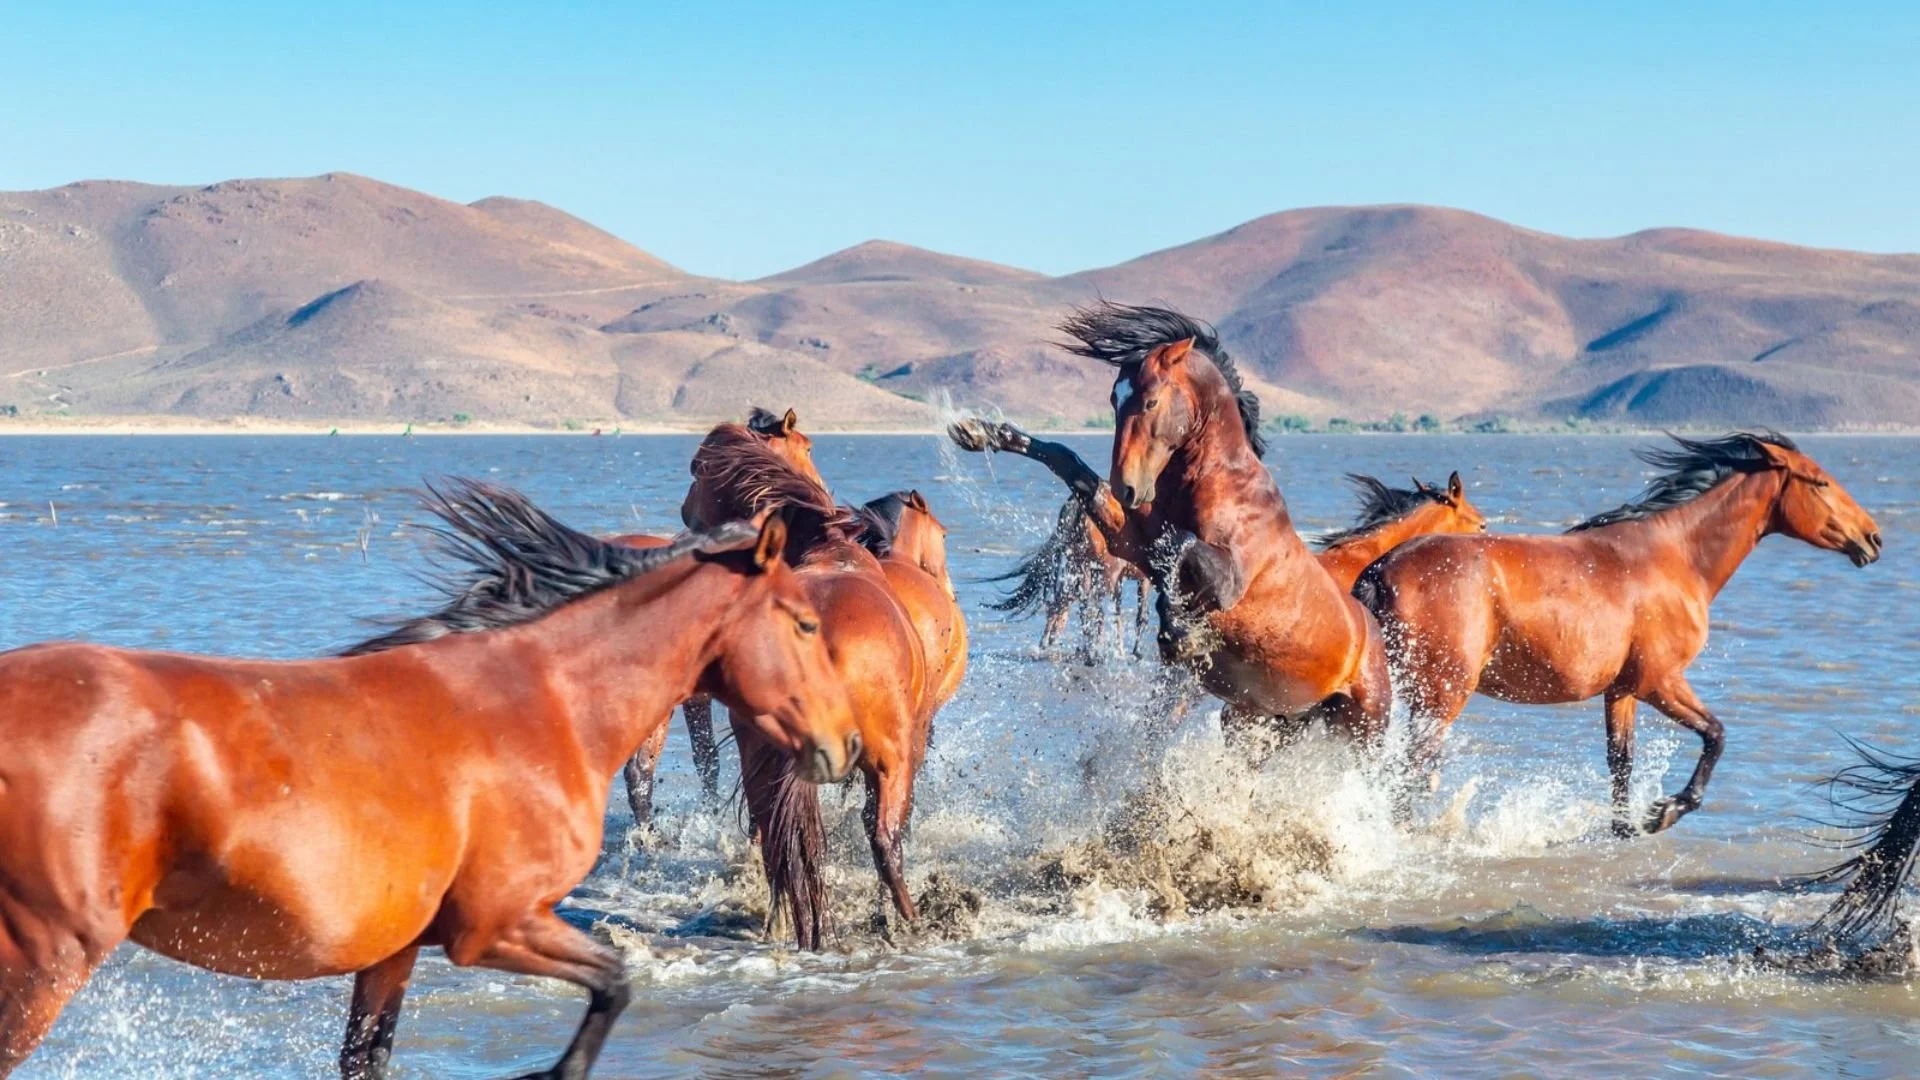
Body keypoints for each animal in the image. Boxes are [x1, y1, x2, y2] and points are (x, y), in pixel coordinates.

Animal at [0, 480, 858, 1080]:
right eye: (805, 623)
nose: (844, 745)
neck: (547, 701)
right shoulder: (497, 926)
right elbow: (616, 982)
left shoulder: (398, 951)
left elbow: (367, 1057)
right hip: (47, 958)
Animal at [950, 301, 1393, 750]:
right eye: (1114, 400)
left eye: (1150, 402)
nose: (1128, 488)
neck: (1217, 483)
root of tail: (1374, 636)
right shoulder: (1128, 543)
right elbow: (1069, 463)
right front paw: (982, 432)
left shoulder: (1227, 580)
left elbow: (1179, 544)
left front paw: (1181, 630)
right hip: (1265, 718)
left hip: (1360, 727)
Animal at [1354, 432, 1882, 836]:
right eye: (1820, 482)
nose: (1873, 539)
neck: (1673, 556)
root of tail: (1382, 569)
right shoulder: (1660, 682)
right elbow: (1716, 735)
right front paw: (1664, 812)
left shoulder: (1622, 690)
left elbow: (1621, 760)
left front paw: (1625, 827)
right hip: (1443, 694)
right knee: (1410, 772)